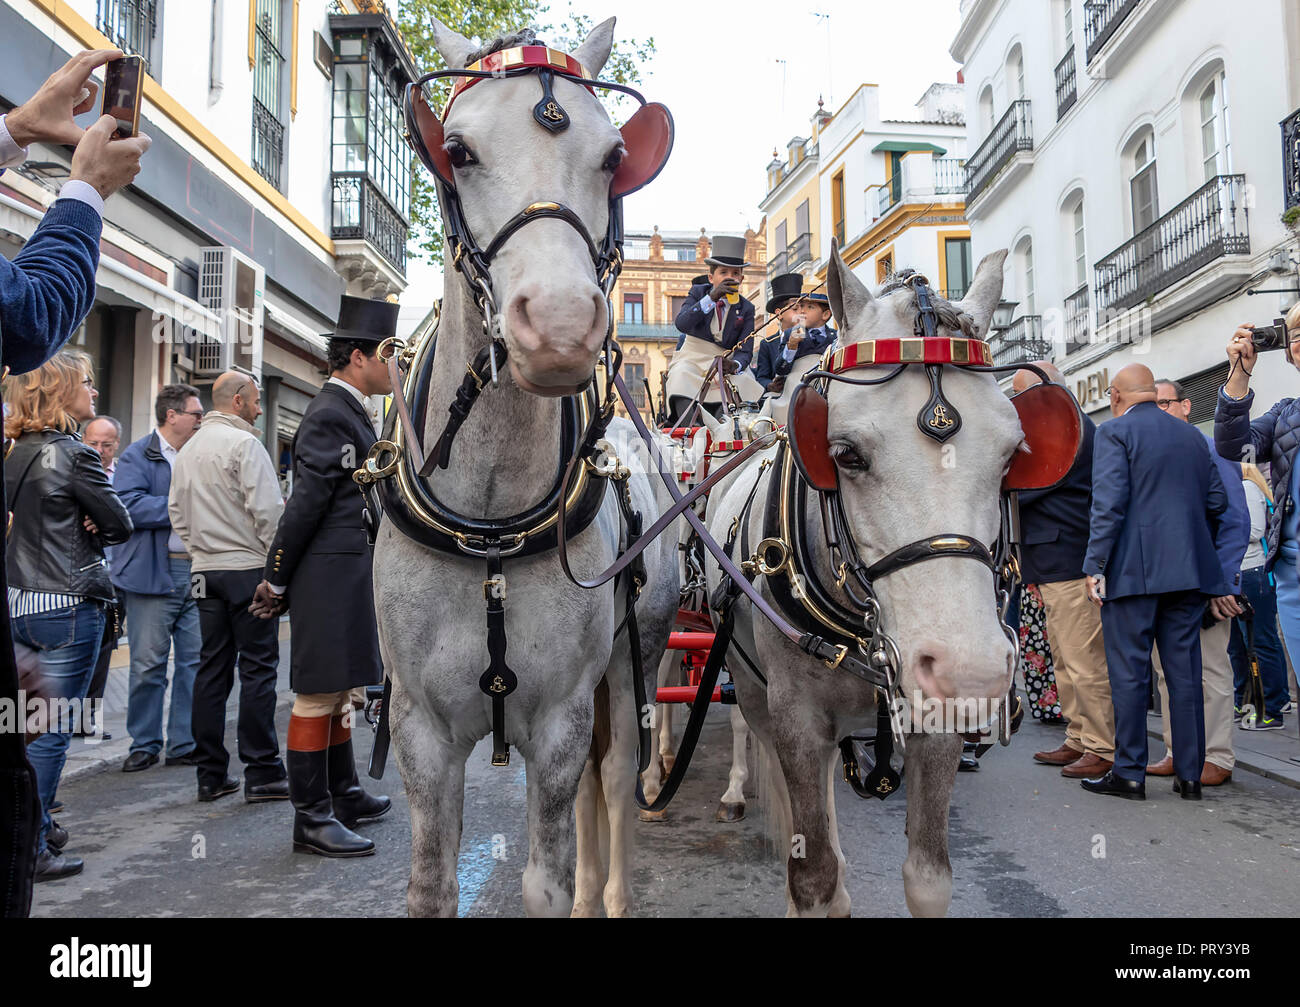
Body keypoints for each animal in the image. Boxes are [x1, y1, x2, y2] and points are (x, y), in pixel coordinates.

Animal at [371, 17, 678, 918]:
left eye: (614, 156)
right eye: (457, 150)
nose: (564, 326)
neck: (491, 526)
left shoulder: (562, 716)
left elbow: (544, 875)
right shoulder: (420, 729)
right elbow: (431, 884)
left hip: (636, 654)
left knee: (616, 775)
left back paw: (611, 892)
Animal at [703, 244, 1029, 917]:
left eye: (1014, 454)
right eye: (844, 453)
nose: (972, 672)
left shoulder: (934, 721)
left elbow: (928, 877)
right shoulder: (797, 718)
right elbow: (813, 877)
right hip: (749, 683)